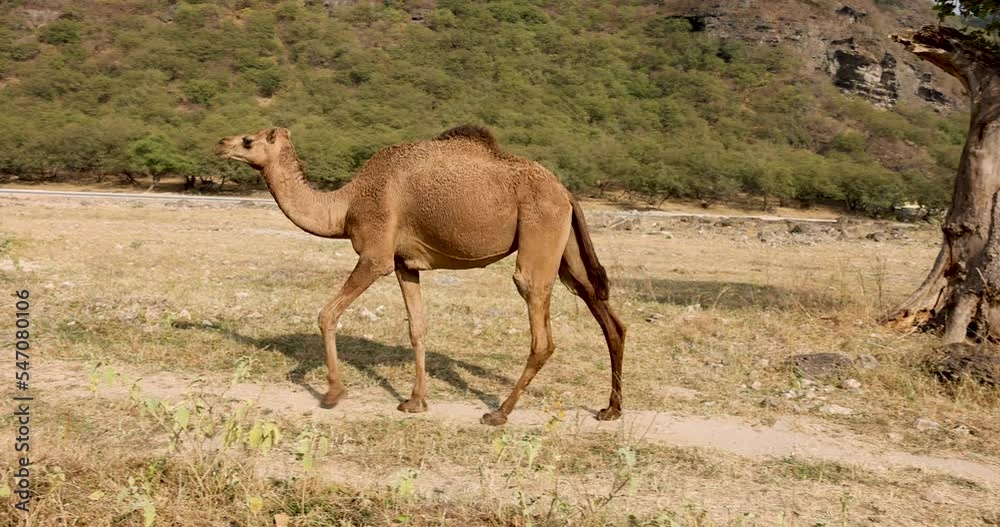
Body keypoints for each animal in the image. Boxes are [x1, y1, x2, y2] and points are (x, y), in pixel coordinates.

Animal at [215, 125, 626, 425]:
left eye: (248, 140)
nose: (220, 143)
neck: (345, 205)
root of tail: (565, 191)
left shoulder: (376, 255)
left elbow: (327, 313)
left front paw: (332, 393)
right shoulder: (405, 264)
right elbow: (417, 327)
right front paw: (415, 401)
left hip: (540, 231)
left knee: (540, 327)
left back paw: (499, 412)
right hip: (566, 247)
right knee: (605, 313)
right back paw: (611, 409)